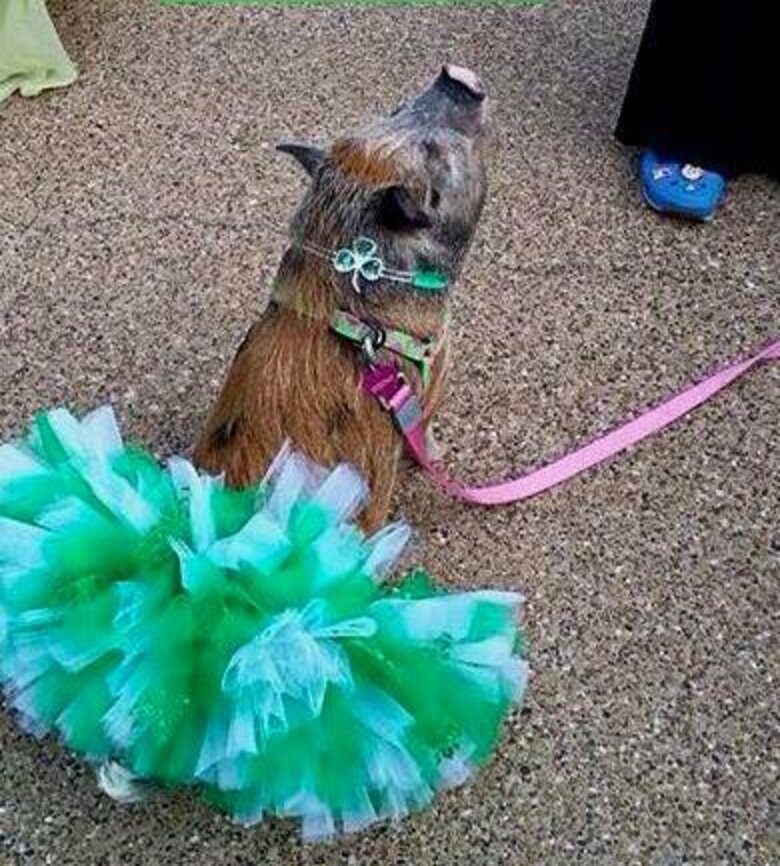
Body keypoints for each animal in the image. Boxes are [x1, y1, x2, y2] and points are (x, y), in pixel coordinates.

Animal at [193, 65, 489, 531]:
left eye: (395, 109)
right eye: (434, 154)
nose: (451, 76)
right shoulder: (437, 371)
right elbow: (426, 436)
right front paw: (436, 456)